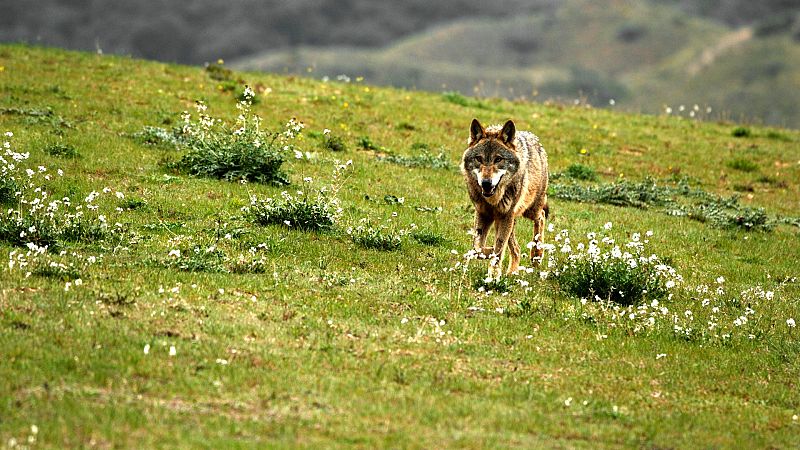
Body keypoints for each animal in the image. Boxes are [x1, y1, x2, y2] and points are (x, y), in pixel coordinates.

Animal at [461, 118, 549, 277]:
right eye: (479, 158)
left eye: (498, 159)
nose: (486, 183)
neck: (493, 200)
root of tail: (535, 139)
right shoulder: (483, 214)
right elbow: (477, 248)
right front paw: (489, 251)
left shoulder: (505, 216)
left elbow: (498, 250)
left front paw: (493, 275)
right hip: (508, 221)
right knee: (517, 249)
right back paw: (512, 272)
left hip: (529, 211)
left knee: (542, 216)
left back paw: (536, 255)